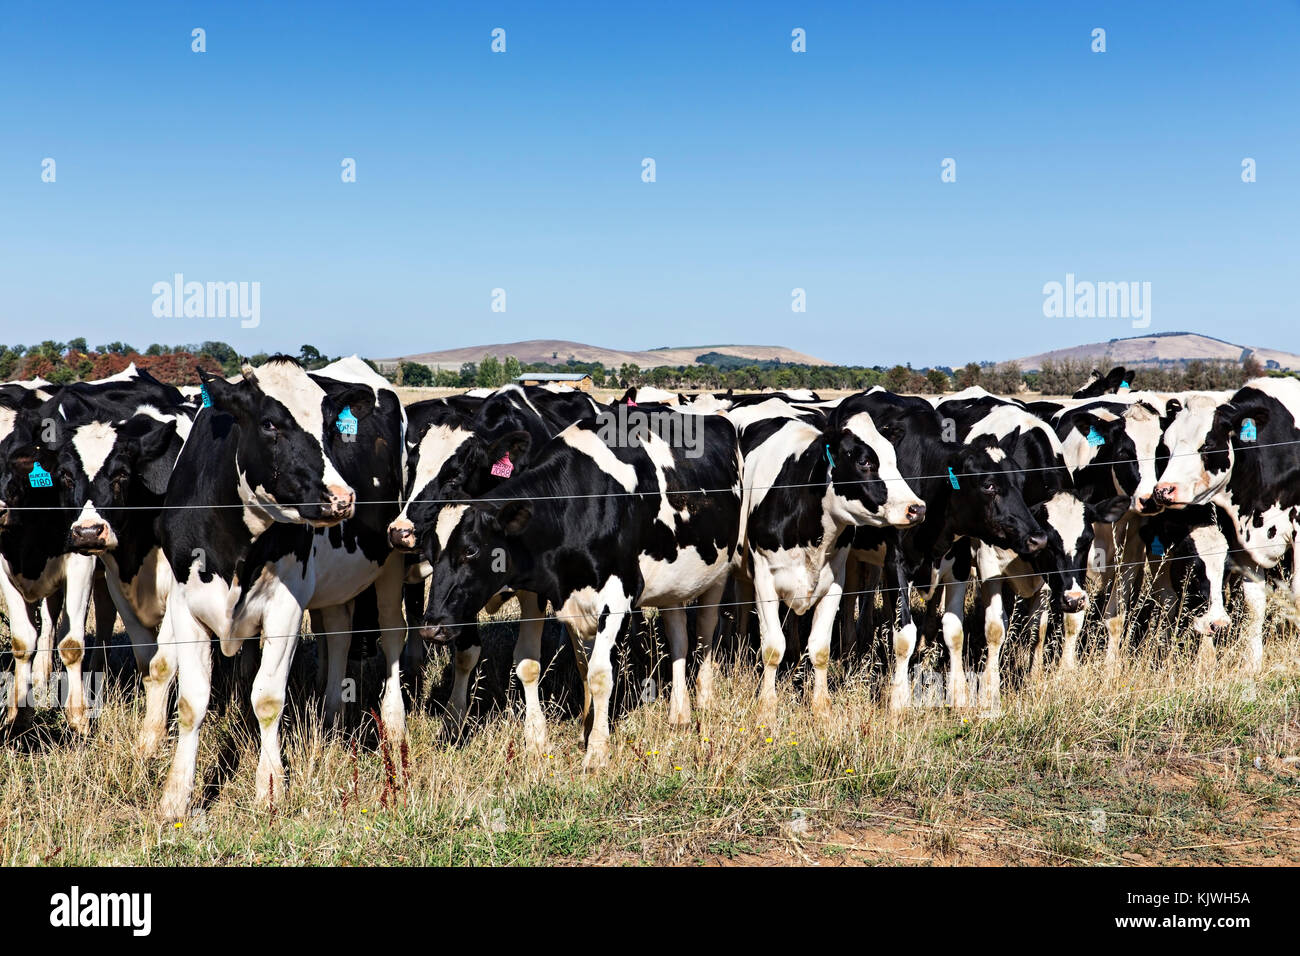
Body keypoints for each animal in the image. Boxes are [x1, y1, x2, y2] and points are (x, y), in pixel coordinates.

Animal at [419, 409, 741, 768]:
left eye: (471, 550)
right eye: (431, 552)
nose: (431, 627)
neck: (579, 503)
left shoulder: (618, 596)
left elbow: (600, 673)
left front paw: (597, 752)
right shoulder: (559, 597)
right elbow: (569, 665)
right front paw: (574, 731)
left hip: (719, 571)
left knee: (706, 631)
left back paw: (705, 701)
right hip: (674, 582)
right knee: (678, 636)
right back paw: (680, 715)